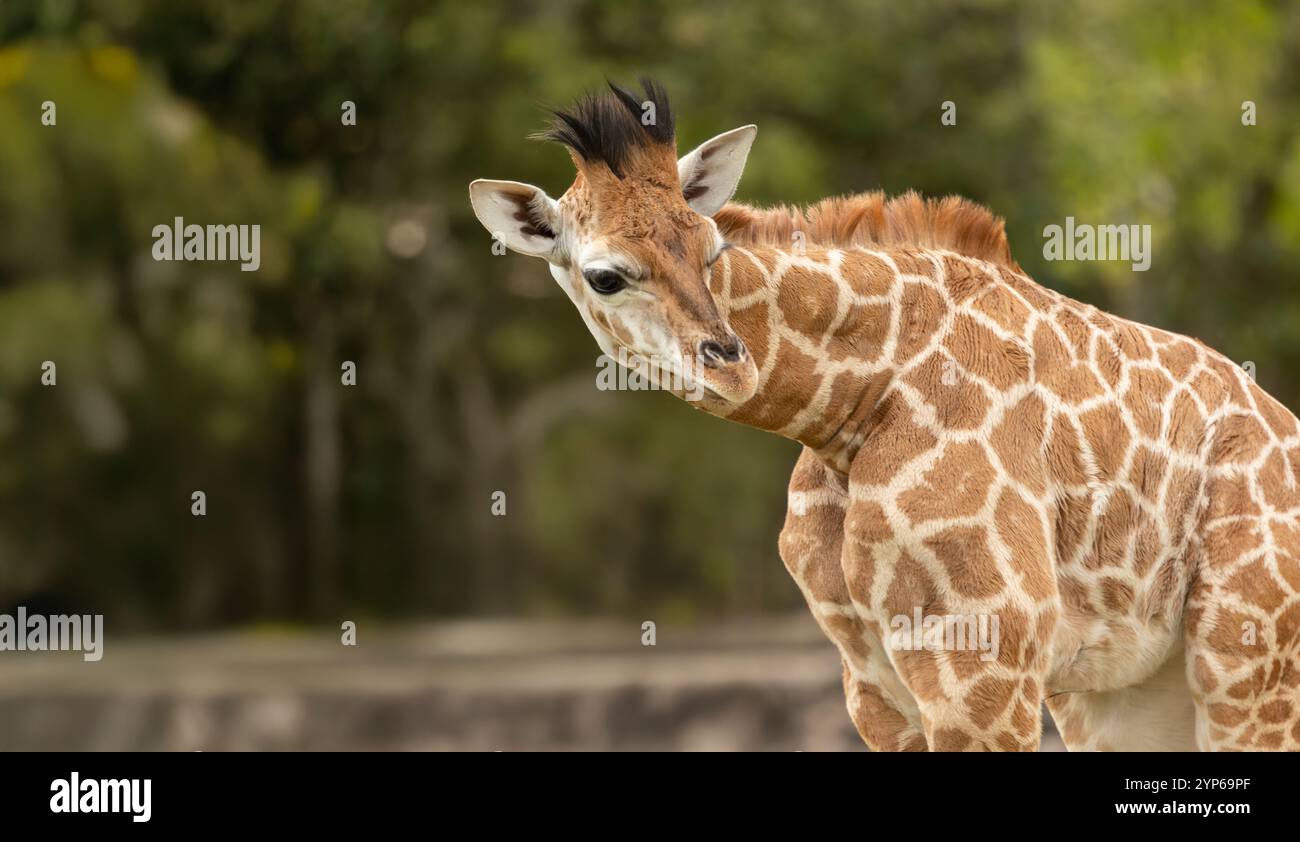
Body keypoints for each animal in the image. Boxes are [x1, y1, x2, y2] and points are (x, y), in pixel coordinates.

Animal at [468, 80, 1300, 751]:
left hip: (1244, 664)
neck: (852, 411)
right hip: (1130, 692)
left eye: (712, 251)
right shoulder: (874, 684)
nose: (729, 360)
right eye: (605, 276)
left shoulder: (985, 665)